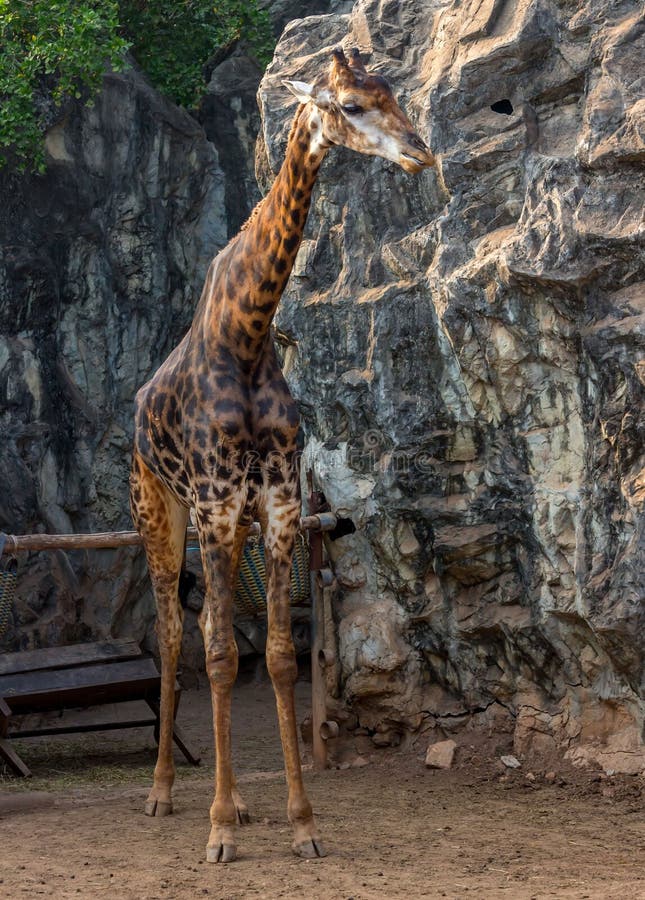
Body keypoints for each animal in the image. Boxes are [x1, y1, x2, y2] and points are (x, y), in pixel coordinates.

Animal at [129, 46, 434, 864]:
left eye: (393, 93)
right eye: (349, 106)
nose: (419, 151)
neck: (248, 334)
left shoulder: (276, 505)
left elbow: (274, 657)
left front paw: (300, 823)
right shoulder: (212, 502)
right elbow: (216, 654)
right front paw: (215, 831)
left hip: (225, 526)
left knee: (212, 634)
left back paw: (238, 801)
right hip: (158, 511)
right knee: (175, 634)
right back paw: (167, 794)